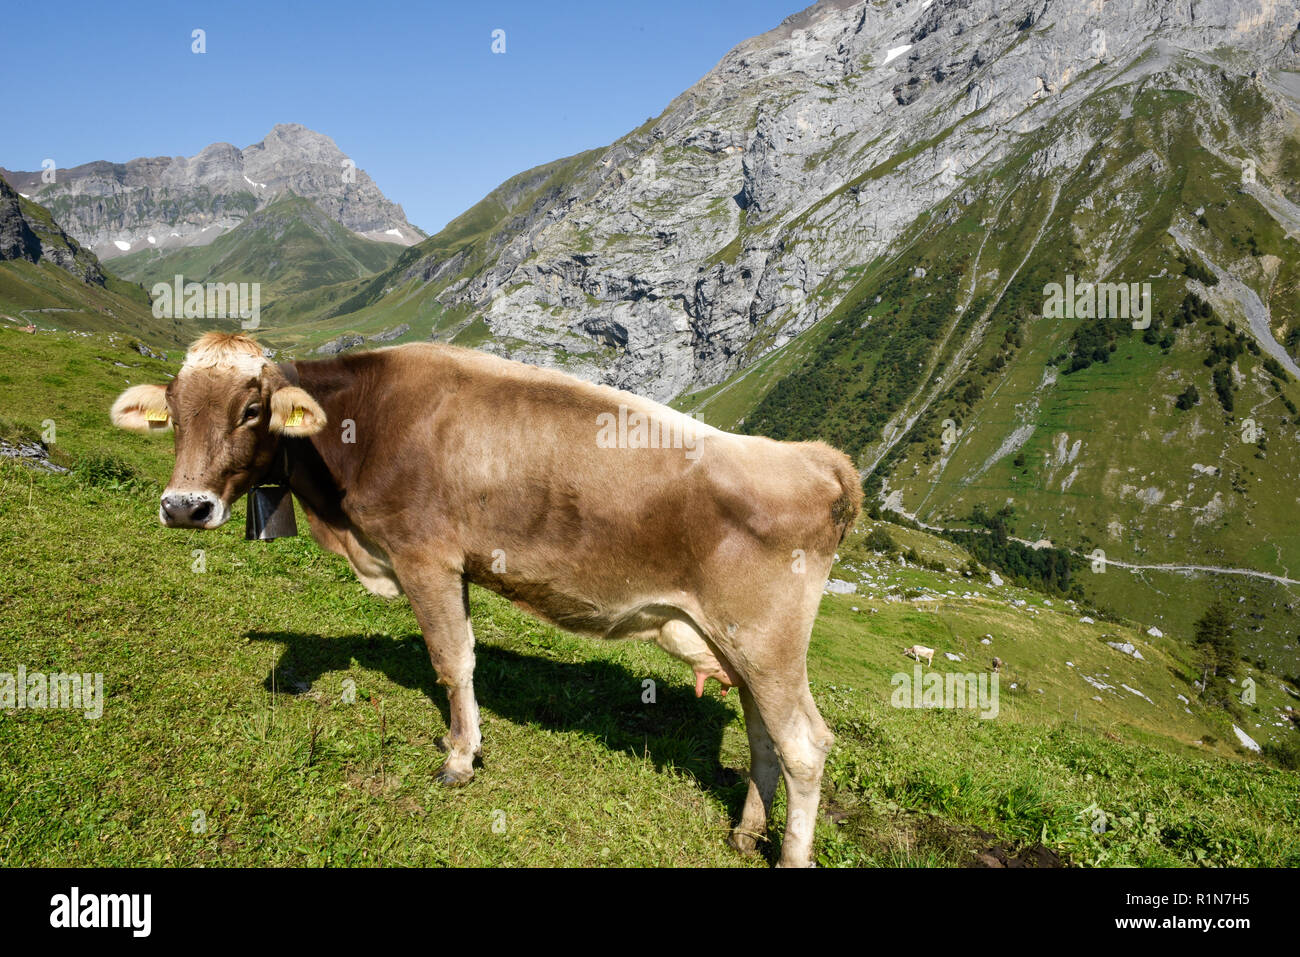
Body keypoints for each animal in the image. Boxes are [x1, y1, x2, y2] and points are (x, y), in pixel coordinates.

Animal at [110, 333, 861, 867]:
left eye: (250, 410)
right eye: (173, 410)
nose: (184, 506)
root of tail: (813, 458)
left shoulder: (425, 556)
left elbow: (452, 660)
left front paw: (458, 758)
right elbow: (464, 654)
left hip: (766, 639)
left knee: (805, 744)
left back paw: (790, 856)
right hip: (743, 647)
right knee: (765, 736)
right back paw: (745, 833)